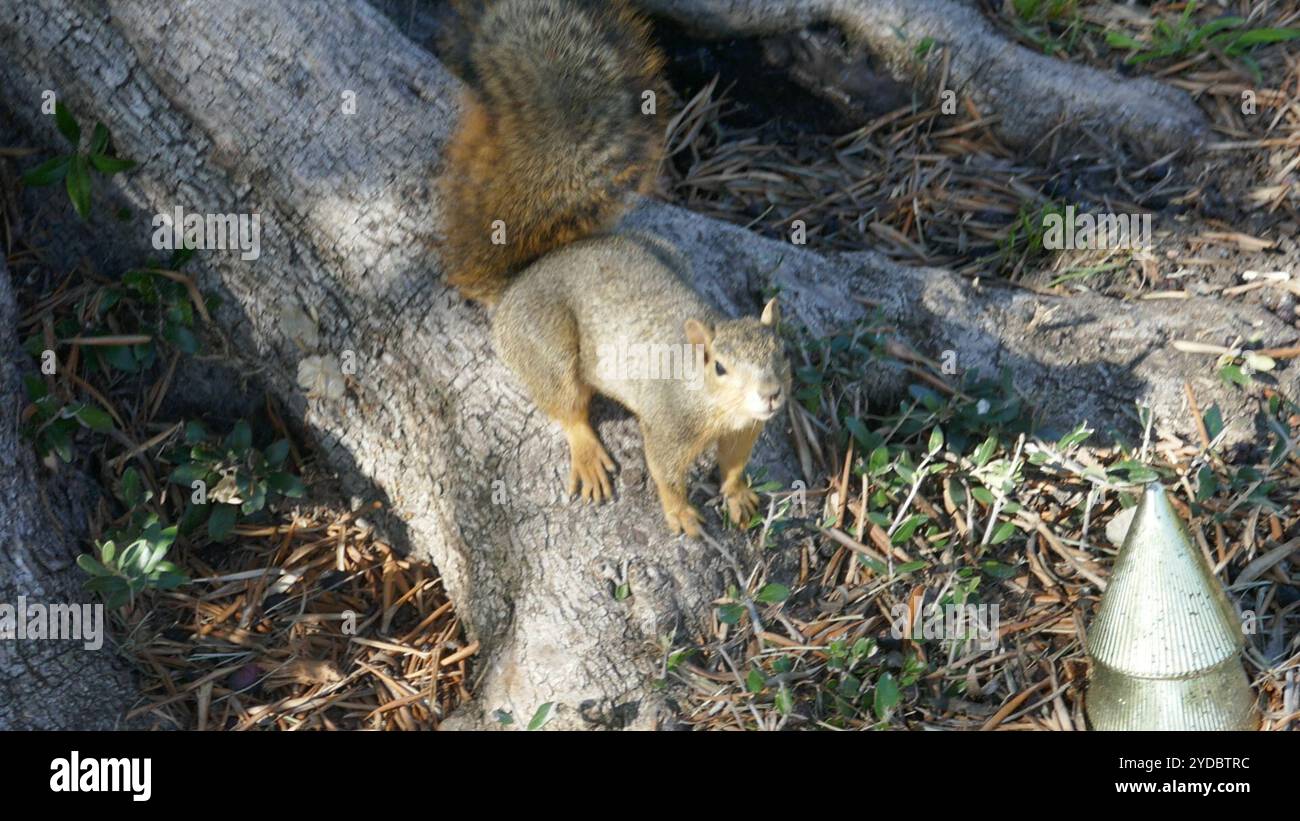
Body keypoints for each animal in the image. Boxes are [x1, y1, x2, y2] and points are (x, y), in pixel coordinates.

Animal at [441, 0, 792, 537]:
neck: (714, 401)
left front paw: (737, 494)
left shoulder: (746, 427)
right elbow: (666, 471)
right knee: (567, 406)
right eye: (720, 367)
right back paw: (587, 454)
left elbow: (734, 463)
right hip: (546, 341)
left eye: (784, 352)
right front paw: (680, 512)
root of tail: (521, 279)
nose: (771, 395)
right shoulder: (668, 424)